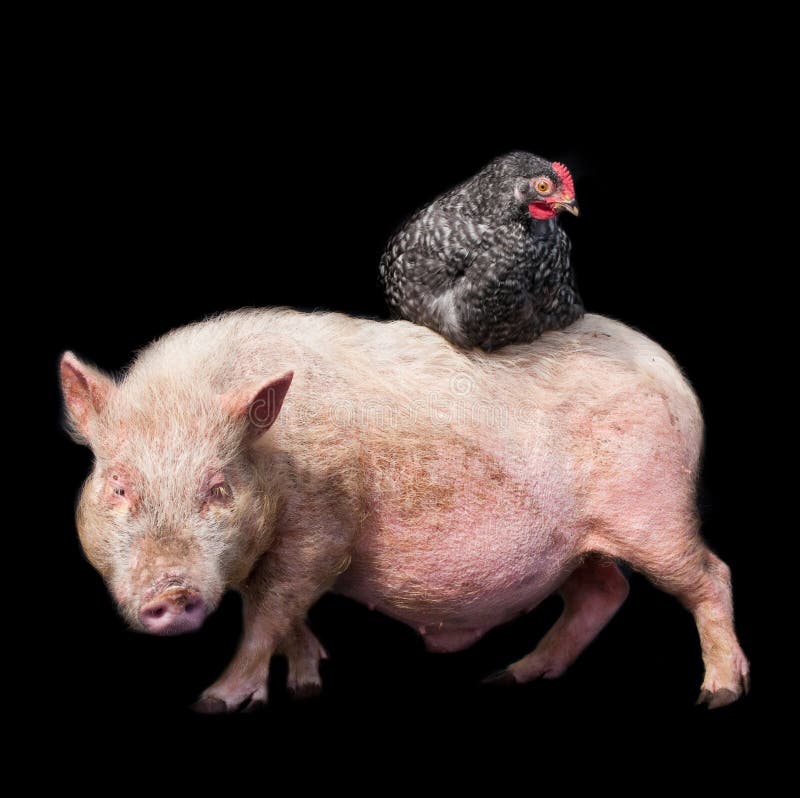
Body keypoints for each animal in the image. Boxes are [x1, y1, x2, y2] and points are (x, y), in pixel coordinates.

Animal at [60, 308, 749, 712]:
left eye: (218, 486)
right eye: (117, 486)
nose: (171, 592)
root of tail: (671, 374)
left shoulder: (321, 533)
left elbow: (268, 613)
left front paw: (218, 700)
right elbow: (289, 618)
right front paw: (308, 682)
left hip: (654, 514)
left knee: (710, 575)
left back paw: (718, 693)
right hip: (578, 543)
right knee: (602, 591)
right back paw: (512, 677)